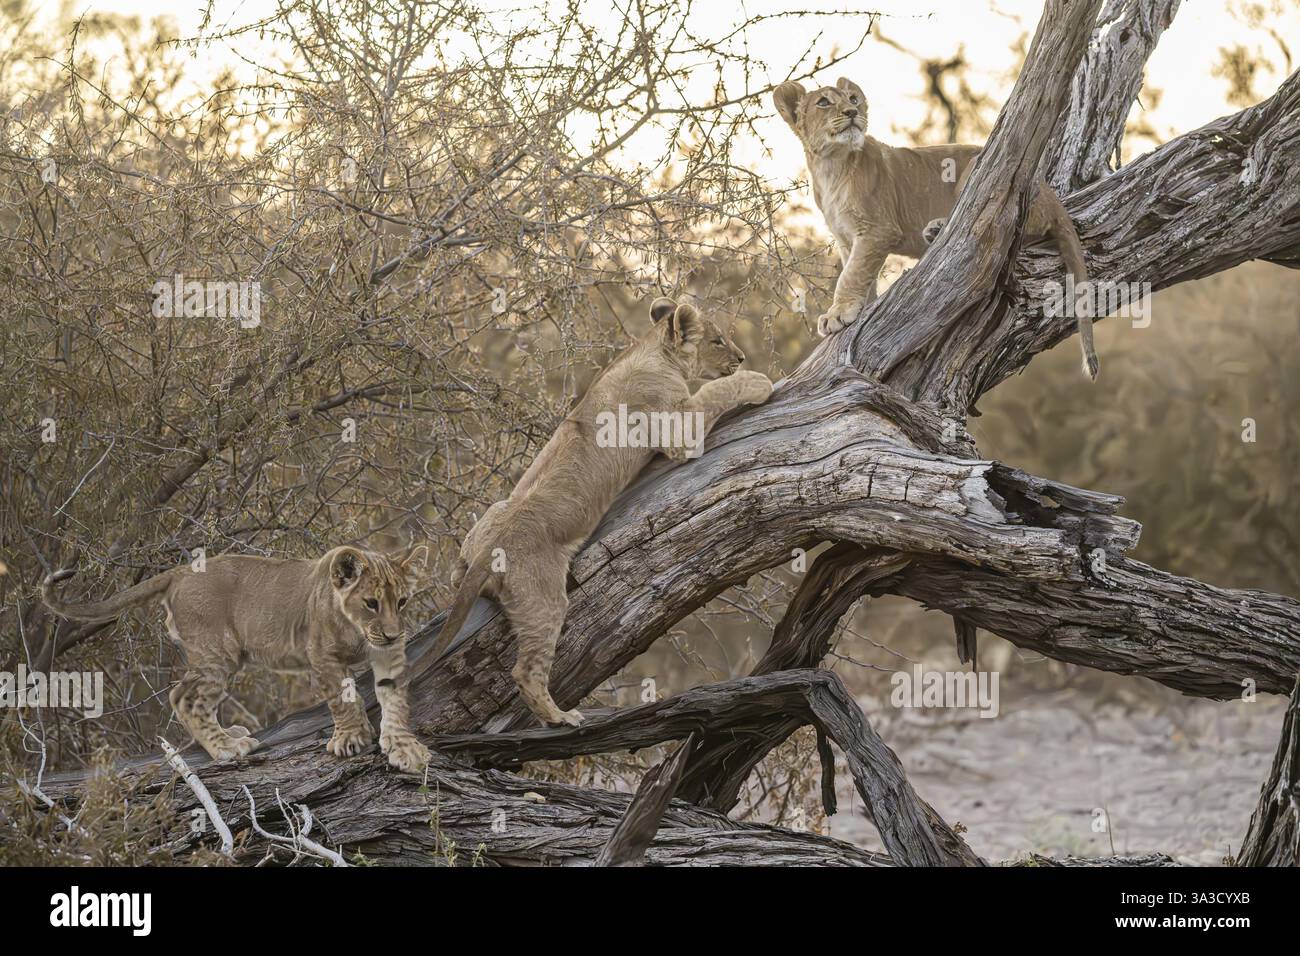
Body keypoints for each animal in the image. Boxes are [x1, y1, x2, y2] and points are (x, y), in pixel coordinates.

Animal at [42, 545, 433, 772]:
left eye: (402, 602)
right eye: (371, 603)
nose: (394, 633)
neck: (358, 629)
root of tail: (181, 571)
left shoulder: (388, 655)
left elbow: (395, 700)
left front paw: (405, 748)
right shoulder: (322, 656)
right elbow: (342, 700)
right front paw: (351, 738)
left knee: (185, 694)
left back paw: (228, 734)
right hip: (218, 653)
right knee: (183, 697)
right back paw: (227, 748)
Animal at [431, 296, 773, 727]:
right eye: (717, 340)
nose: (742, 357)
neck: (653, 352)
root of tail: (490, 547)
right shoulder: (677, 430)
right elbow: (716, 388)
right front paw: (760, 381)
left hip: (493, 514)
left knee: (456, 571)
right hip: (545, 599)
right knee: (524, 670)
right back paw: (560, 716)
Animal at [774, 76, 1098, 379]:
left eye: (853, 98)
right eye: (823, 103)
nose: (853, 111)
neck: (832, 166)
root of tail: (1050, 193)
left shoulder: (878, 230)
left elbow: (850, 275)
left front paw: (838, 313)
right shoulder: (847, 239)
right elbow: (861, 275)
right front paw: (860, 309)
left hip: (982, 169)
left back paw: (939, 228)